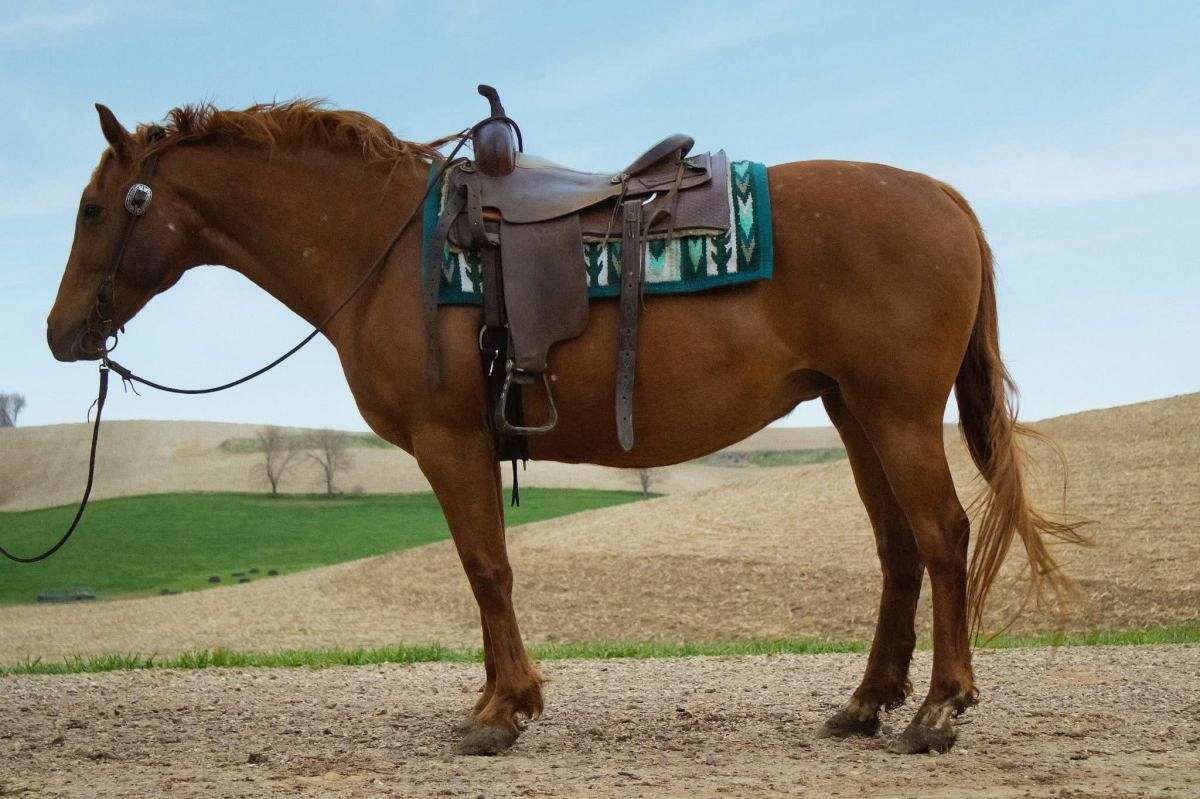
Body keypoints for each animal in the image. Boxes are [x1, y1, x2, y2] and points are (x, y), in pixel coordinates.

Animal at [46, 100, 1084, 756]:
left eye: (96, 208)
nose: (61, 333)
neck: (384, 246)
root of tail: (943, 197)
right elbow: (490, 568)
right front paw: (504, 698)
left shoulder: (450, 440)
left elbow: (485, 567)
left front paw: (502, 710)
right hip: (854, 410)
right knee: (899, 548)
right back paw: (867, 703)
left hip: (897, 411)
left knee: (943, 537)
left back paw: (939, 711)